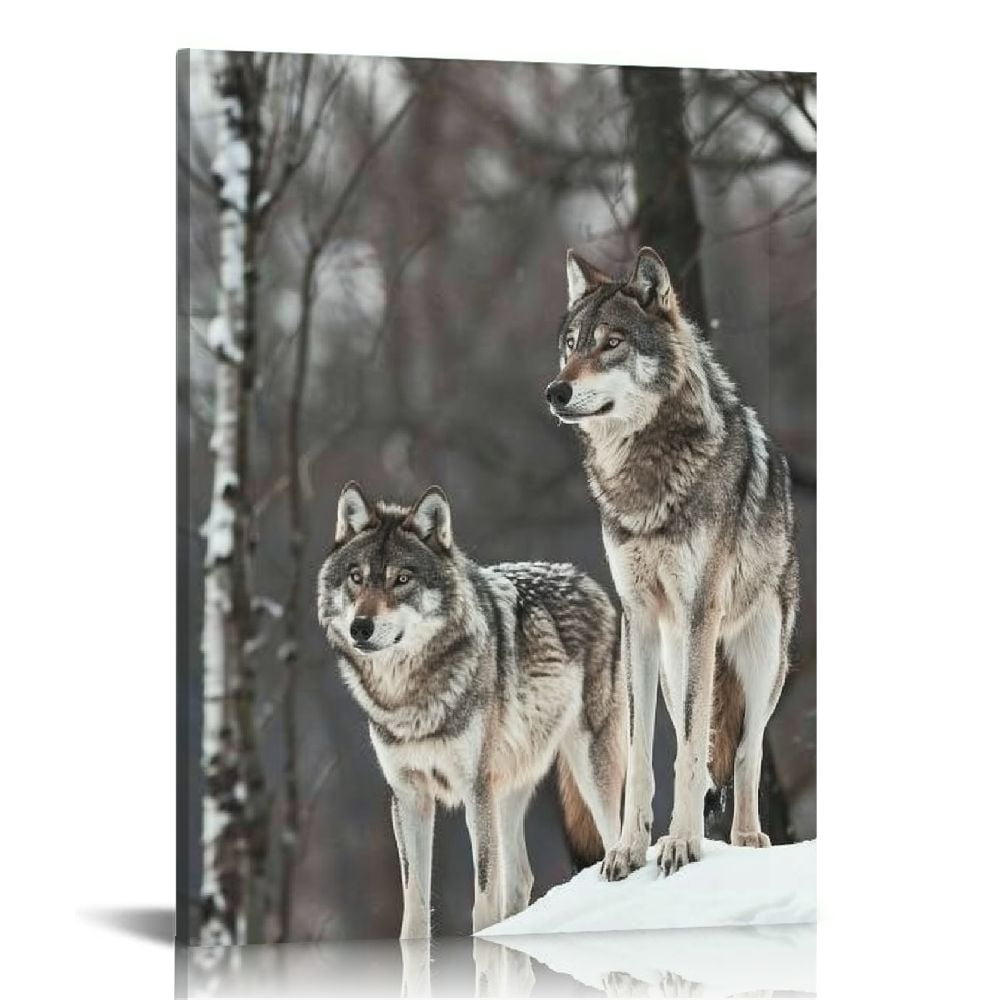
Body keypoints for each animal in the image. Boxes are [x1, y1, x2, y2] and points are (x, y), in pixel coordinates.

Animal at [316, 482, 626, 936]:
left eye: (402, 579)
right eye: (356, 577)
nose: (361, 627)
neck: (410, 697)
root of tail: (586, 579)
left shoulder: (474, 790)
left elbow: (483, 900)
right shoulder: (409, 795)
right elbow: (414, 910)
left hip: (588, 770)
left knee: (613, 839)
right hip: (509, 789)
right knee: (521, 878)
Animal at [545, 246, 798, 880]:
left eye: (611, 343)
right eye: (572, 344)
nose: (555, 392)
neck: (644, 474)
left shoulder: (700, 608)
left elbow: (694, 749)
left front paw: (683, 844)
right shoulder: (638, 617)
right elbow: (644, 754)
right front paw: (628, 850)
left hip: (759, 657)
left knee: (746, 751)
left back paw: (748, 839)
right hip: (672, 657)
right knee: (702, 745)